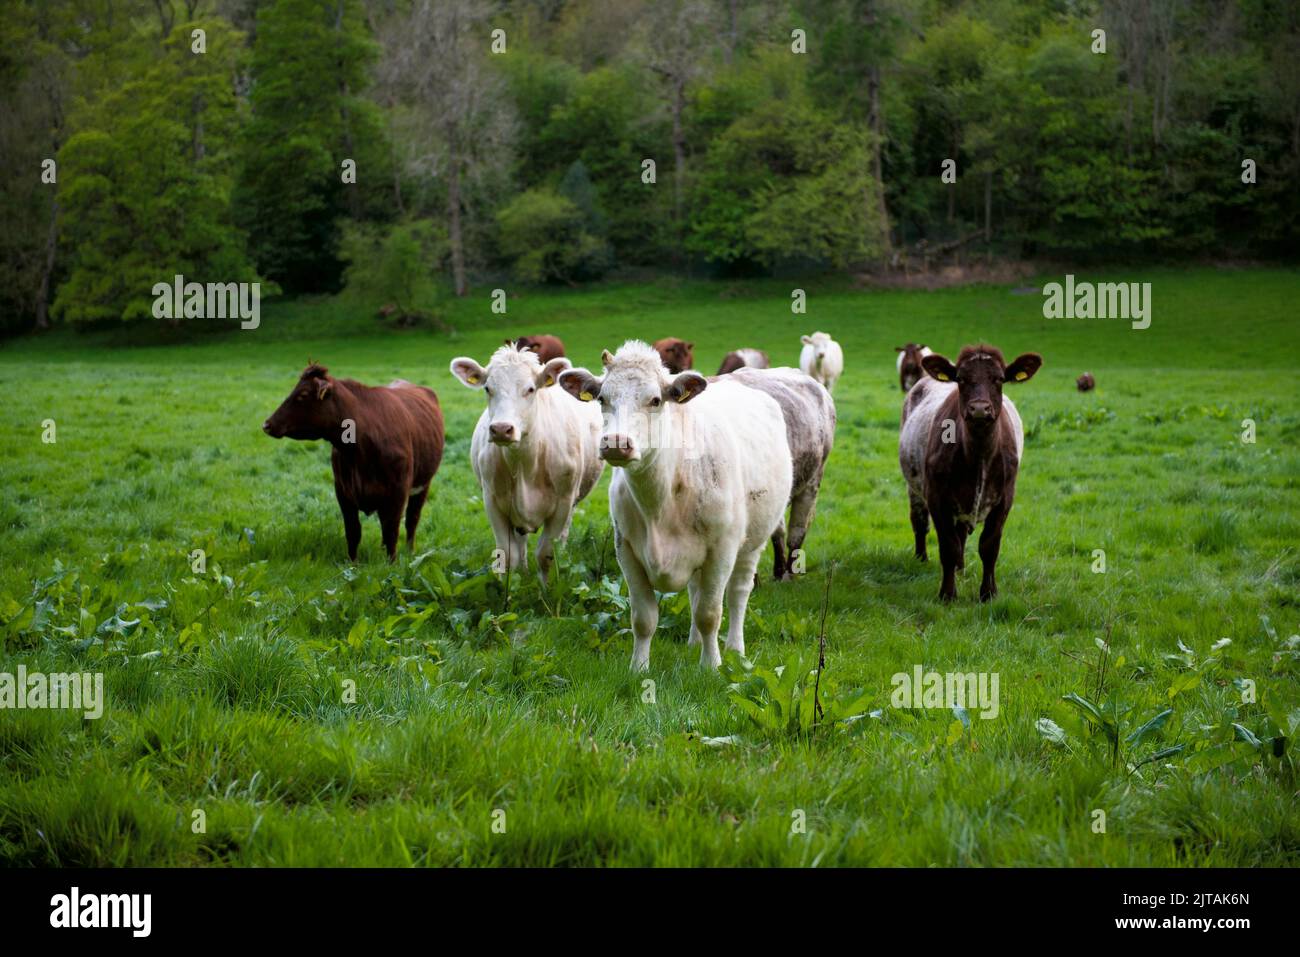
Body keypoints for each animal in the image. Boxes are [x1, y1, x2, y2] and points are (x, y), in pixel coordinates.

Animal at [262, 364, 445, 562]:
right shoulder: (343, 491)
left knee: (412, 519)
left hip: (423, 484)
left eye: (302, 395)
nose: (267, 424)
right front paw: (352, 563)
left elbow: (392, 531)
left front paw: (391, 564)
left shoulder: (398, 491)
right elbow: (353, 531)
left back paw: (410, 552)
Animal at [450, 345, 604, 586]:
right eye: (487, 388)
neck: (524, 464)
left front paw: (546, 588)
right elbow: (506, 554)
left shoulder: (563, 502)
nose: (501, 429)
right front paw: (508, 587)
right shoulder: (492, 501)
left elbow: (545, 553)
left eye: (530, 389)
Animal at [558, 341, 792, 670]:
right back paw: (694, 643)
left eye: (656, 400)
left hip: (753, 542)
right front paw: (638, 668)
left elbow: (710, 613)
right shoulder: (626, 550)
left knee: (737, 593)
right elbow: (643, 618)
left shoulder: (721, 550)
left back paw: (734, 648)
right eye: (602, 398)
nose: (616, 443)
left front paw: (711, 666)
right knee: (695, 591)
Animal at [898, 344, 1042, 602]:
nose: (979, 409)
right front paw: (947, 593)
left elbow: (989, 546)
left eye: (999, 379)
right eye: (962, 379)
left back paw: (960, 567)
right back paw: (921, 558)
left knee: (962, 533)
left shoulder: (1004, 500)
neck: (979, 456)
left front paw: (988, 593)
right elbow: (948, 546)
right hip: (914, 487)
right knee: (920, 521)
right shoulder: (937, 497)